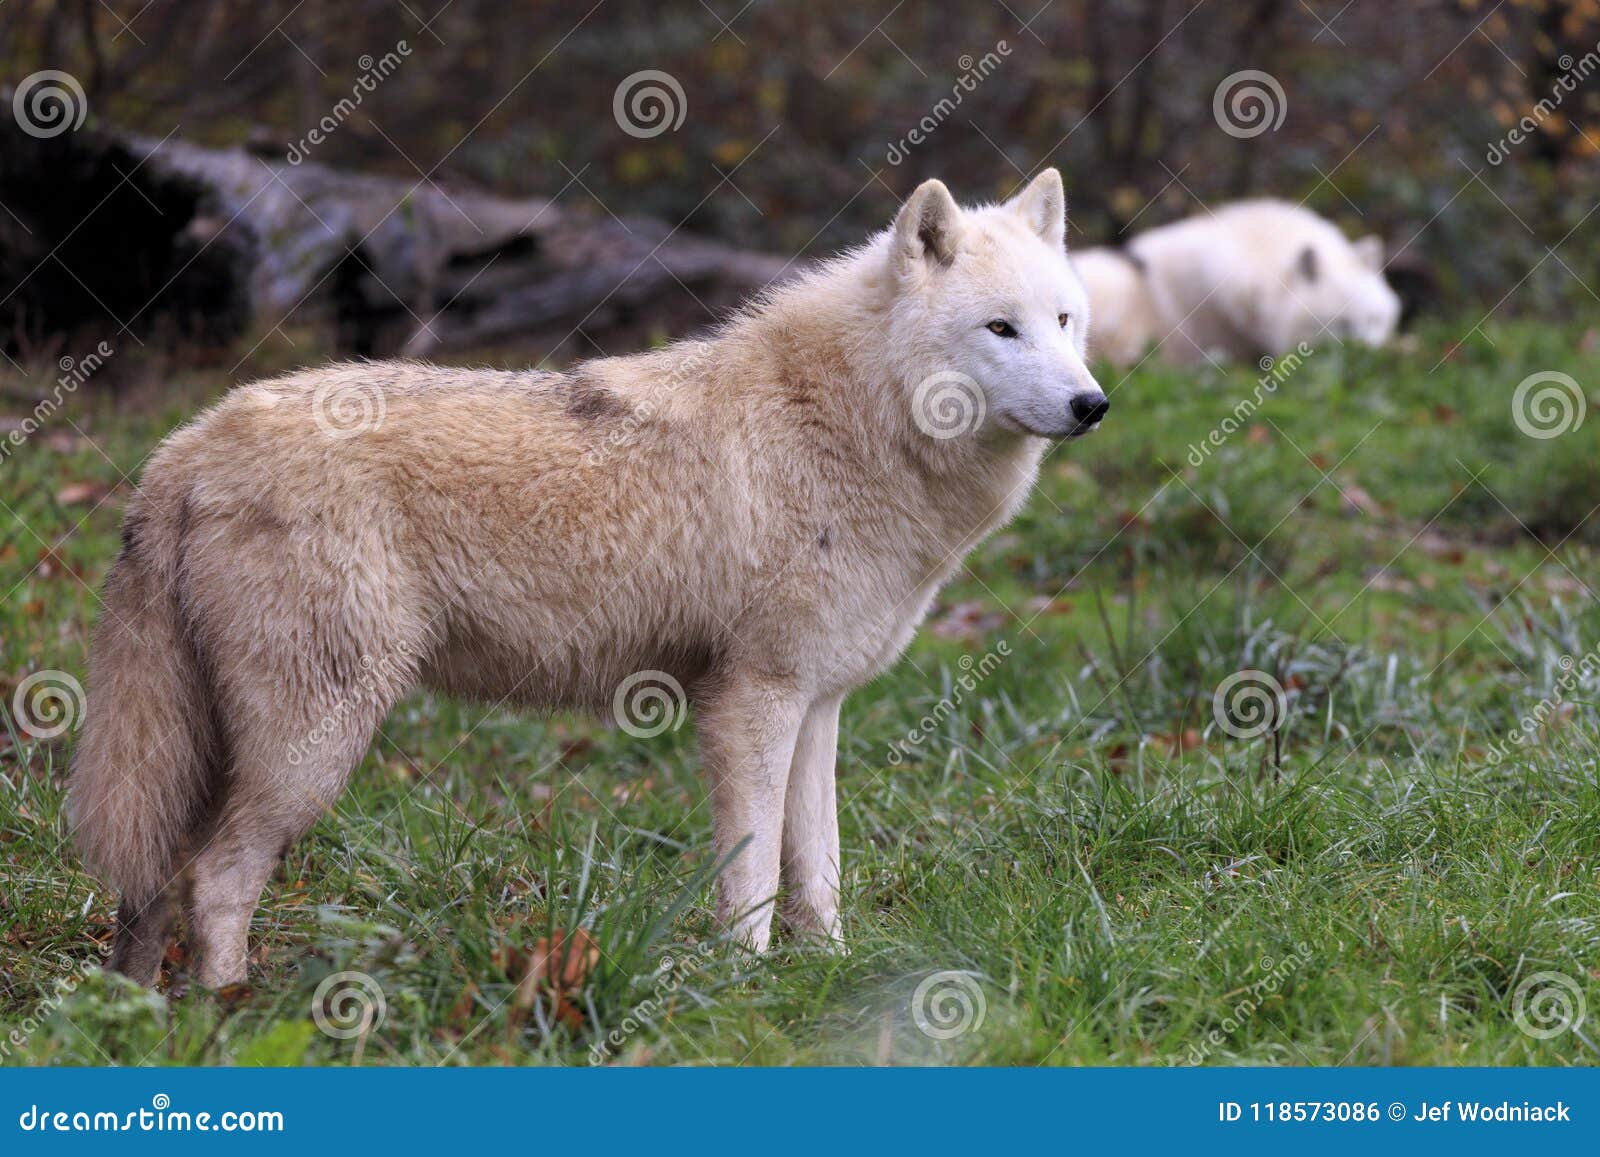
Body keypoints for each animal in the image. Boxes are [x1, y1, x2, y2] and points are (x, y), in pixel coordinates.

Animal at [68, 170, 1108, 987]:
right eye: (1001, 329)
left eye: (1064, 321)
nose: (1091, 404)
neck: (850, 421)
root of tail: (183, 449)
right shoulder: (753, 702)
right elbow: (754, 878)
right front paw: (745, 989)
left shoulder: (817, 706)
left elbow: (820, 873)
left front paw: (830, 974)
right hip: (314, 744)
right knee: (215, 881)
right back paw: (228, 1012)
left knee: (151, 883)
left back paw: (136, 1011)